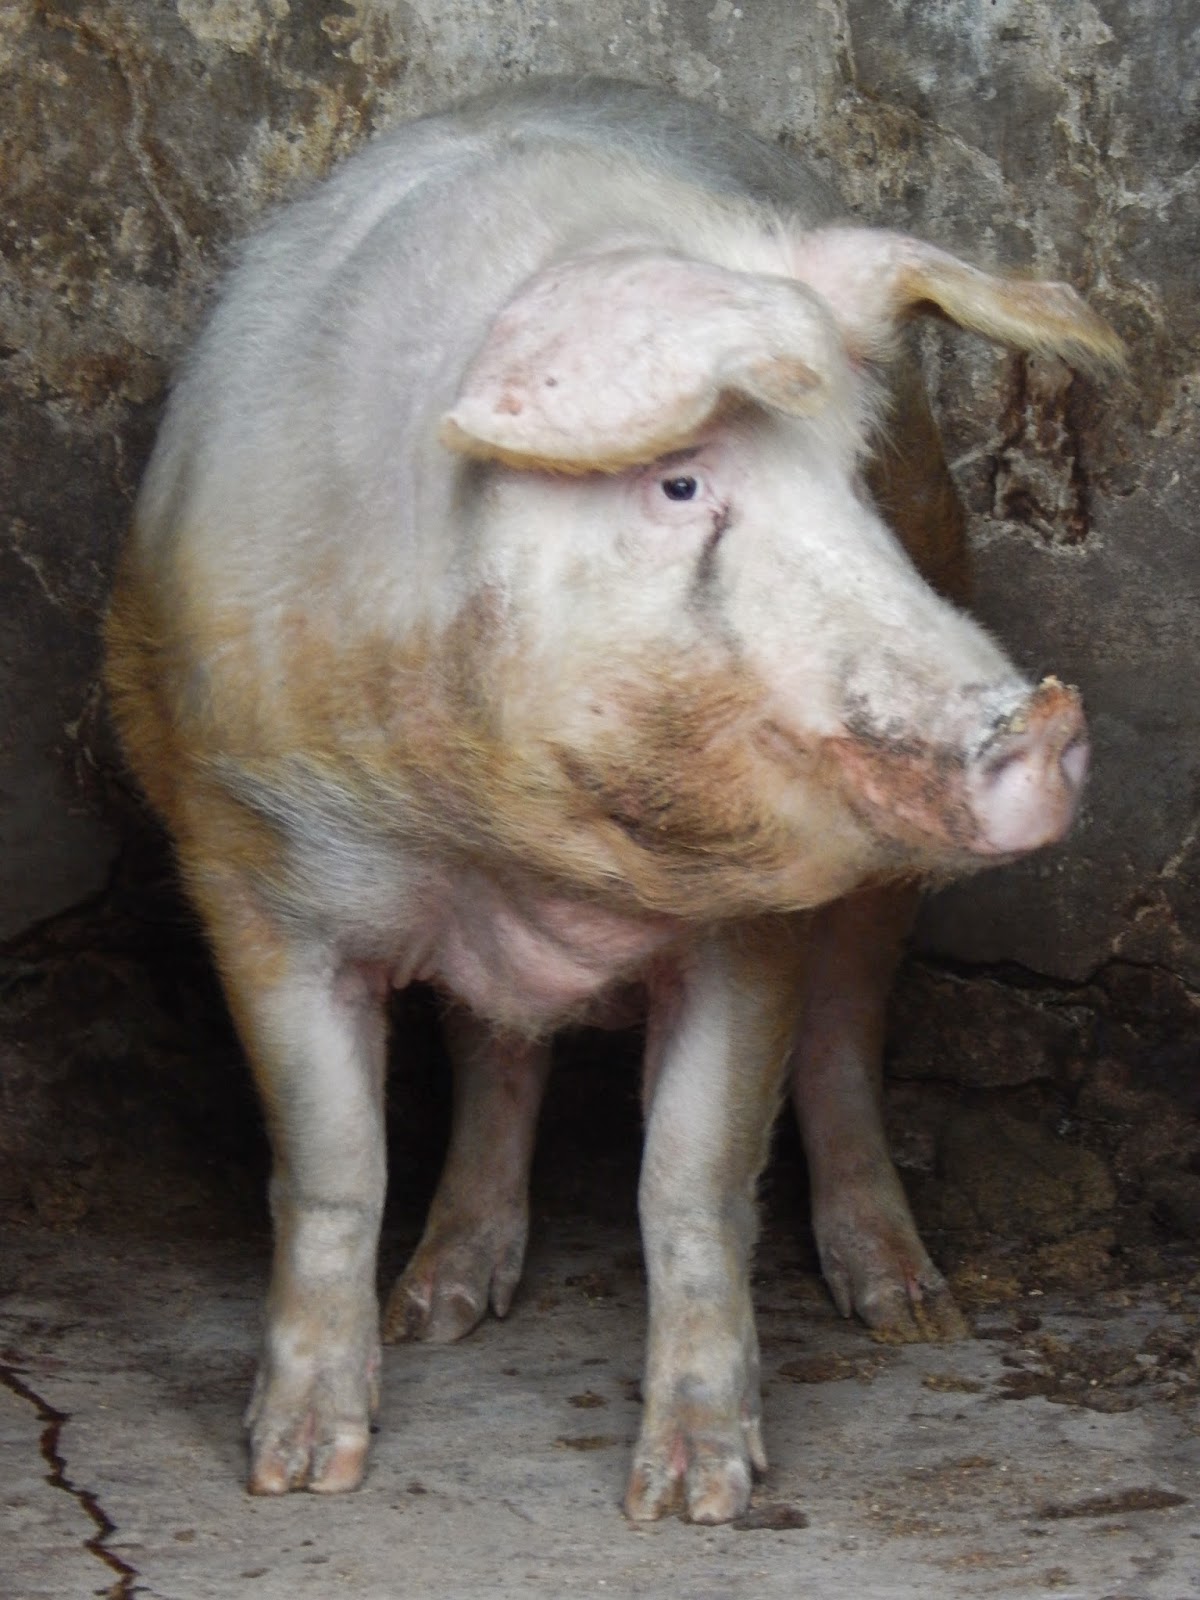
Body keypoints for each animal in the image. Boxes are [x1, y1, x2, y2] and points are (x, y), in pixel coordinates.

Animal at [104, 78, 1122, 1524]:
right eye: (679, 480)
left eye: (859, 475)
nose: (1044, 725)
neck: (504, 828)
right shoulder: (247, 863)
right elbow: (332, 1164)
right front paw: (299, 1474)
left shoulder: (757, 912)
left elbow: (689, 1183)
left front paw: (693, 1501)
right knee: (495, 1053)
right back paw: (439, 1306)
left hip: (876, 901)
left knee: (844, 1044)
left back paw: (909, 1311)